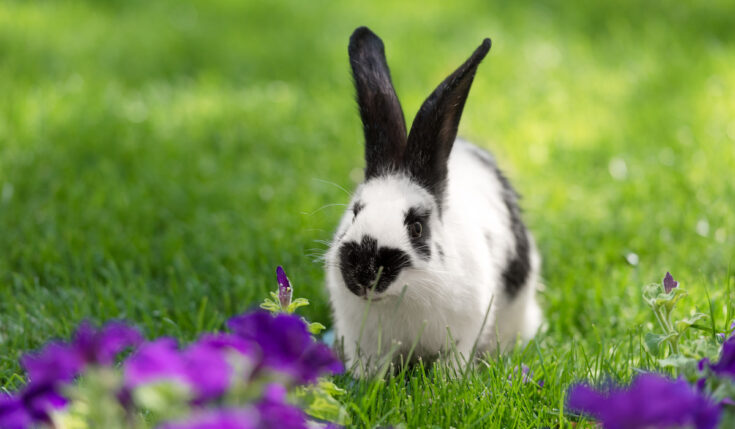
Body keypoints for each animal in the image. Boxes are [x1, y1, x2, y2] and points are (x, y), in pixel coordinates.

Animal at [325, 26, 542, 374]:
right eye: (355, 212)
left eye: (416, 227)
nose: (365, 272)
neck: (400, 297)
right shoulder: (363, 342)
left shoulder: (463, 335)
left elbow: (452, 365)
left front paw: (445, 383)